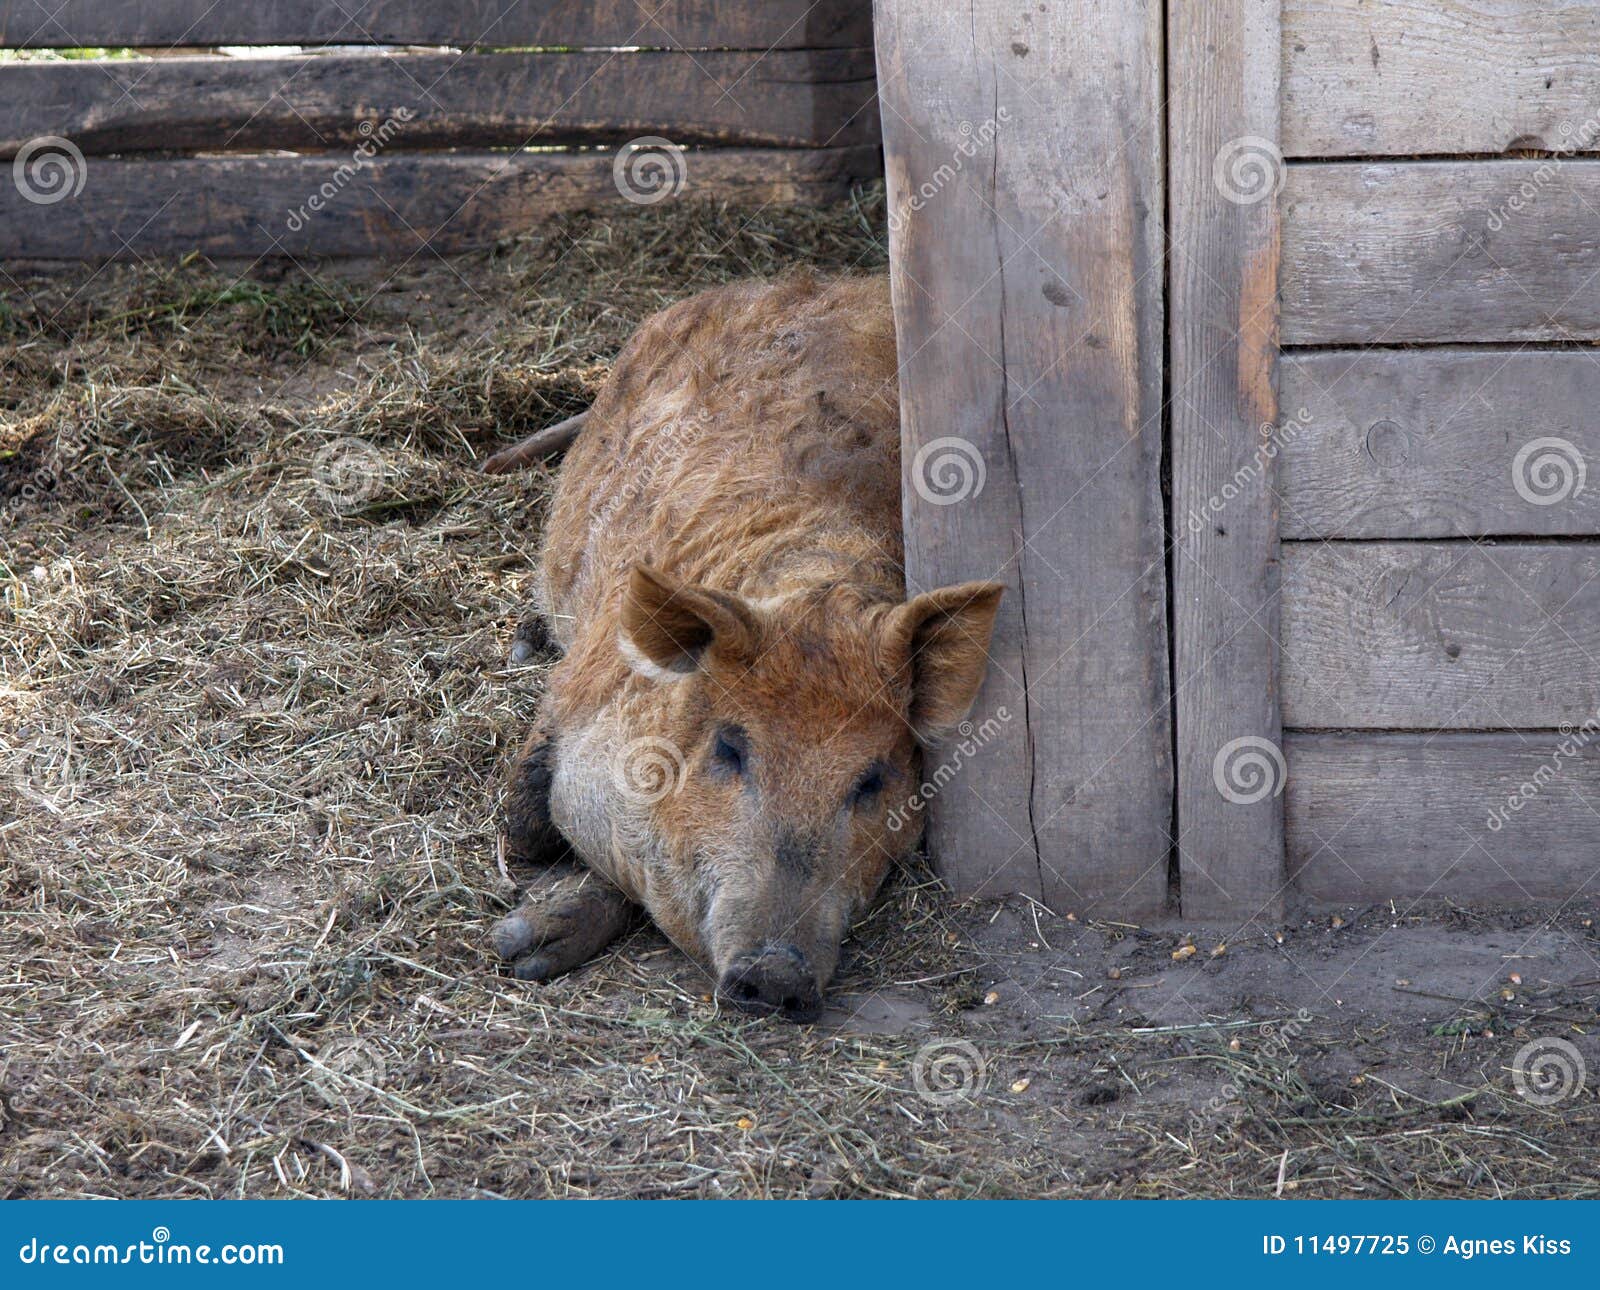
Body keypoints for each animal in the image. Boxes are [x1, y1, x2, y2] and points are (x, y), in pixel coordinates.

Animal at [490, 271, 1002, 1022]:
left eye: (875, 778)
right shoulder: (568, 701)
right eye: (730, 747)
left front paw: (527, 947)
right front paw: (518, 951)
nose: (776, 974)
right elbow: (524, 826)